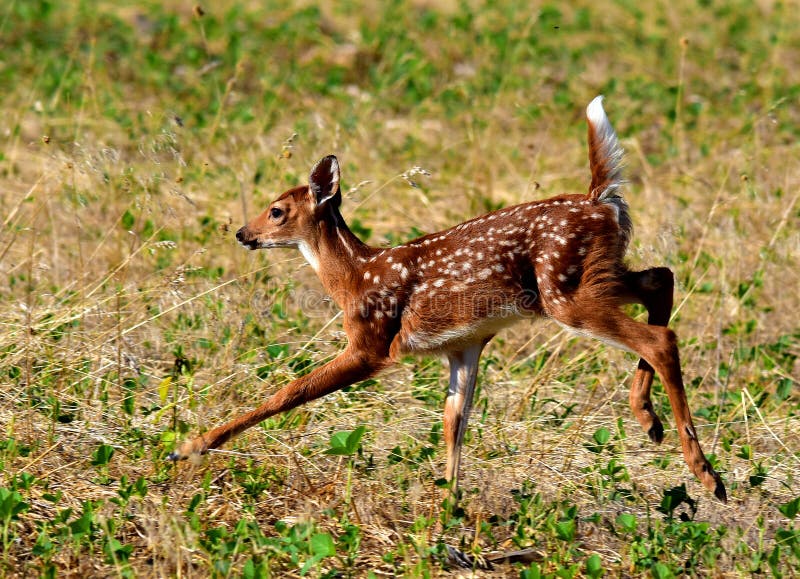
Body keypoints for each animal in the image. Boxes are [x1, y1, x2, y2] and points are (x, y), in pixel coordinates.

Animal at [168, 96, 727, 504]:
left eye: (277, 210)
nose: (243, 233)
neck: (354, 276)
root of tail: (601, 199)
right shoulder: (463, 346)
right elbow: (454, 422)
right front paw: (448, 506)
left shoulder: (371, 343)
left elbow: (288, 393)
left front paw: (190, 447)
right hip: (593, 276)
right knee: (661, 279)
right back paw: (649, 420)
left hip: (565, 292)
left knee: (661, 336)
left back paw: (706, 474)